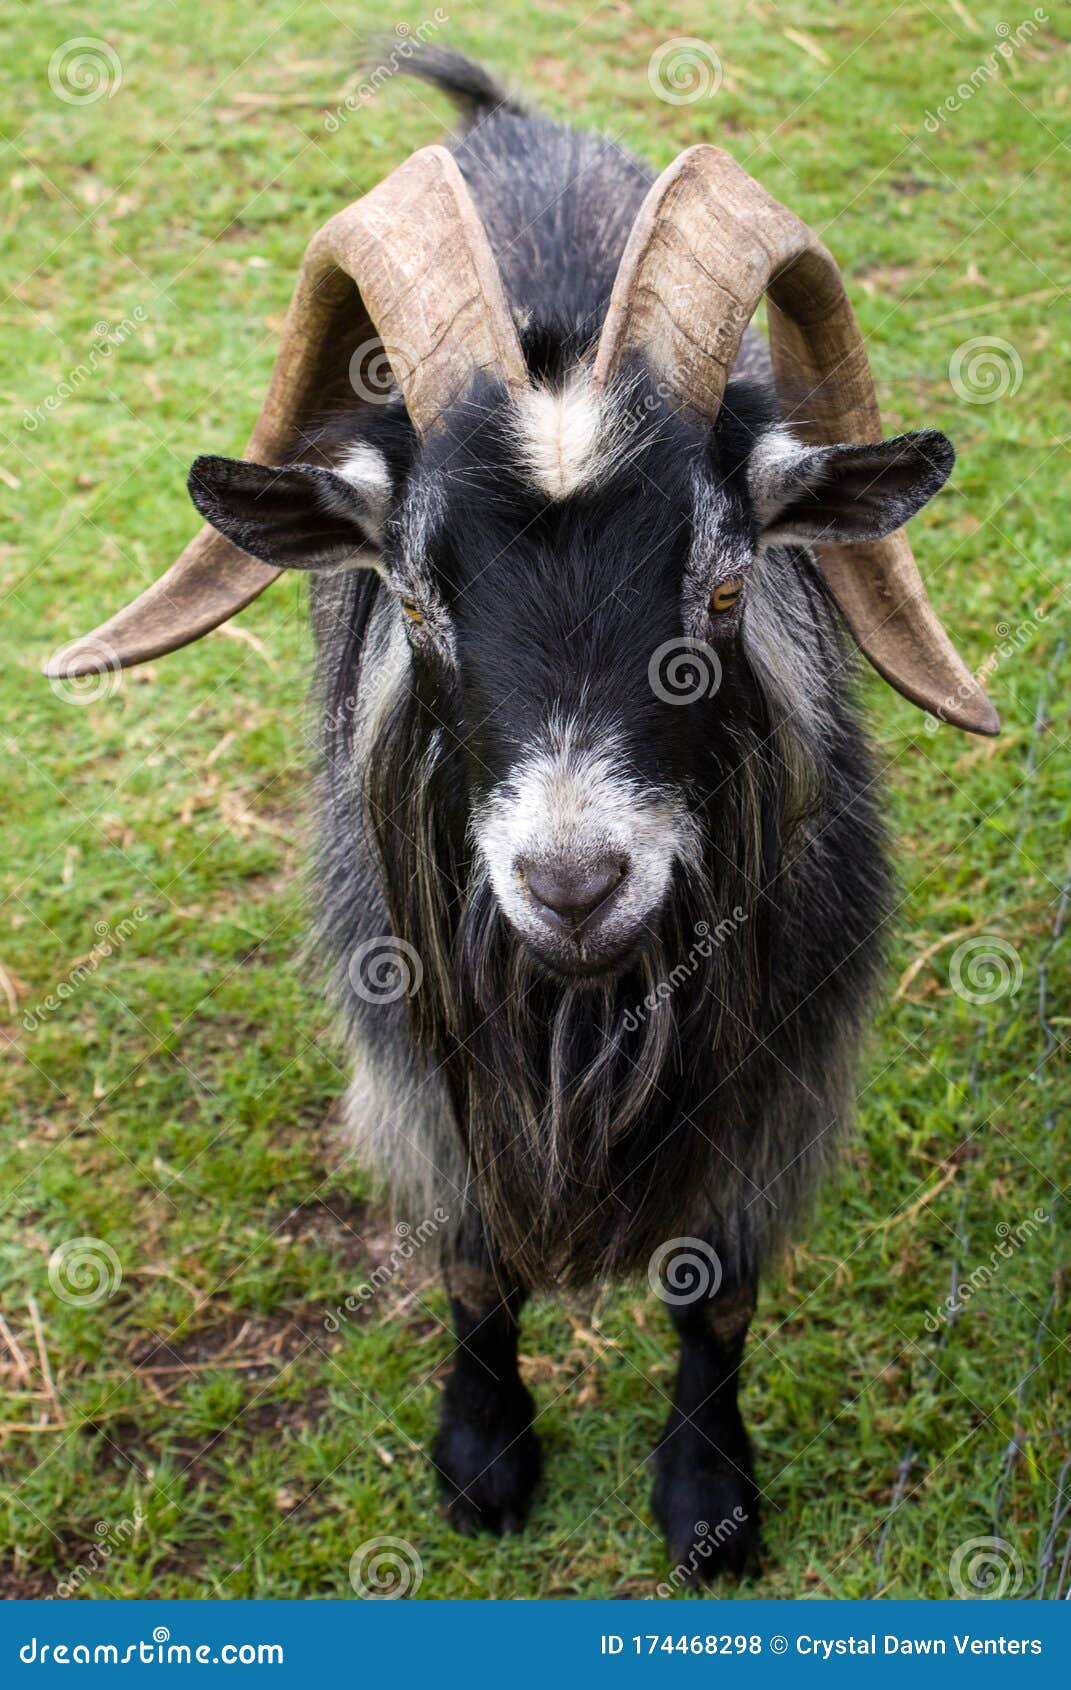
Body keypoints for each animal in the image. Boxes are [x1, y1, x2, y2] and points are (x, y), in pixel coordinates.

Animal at [48, 48, 998, 1580]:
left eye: (723, 587)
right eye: (414, 595)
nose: (572, 881)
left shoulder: (776, 1072)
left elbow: (713, 1289)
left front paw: (708, 1497)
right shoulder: (415, 1043)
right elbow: (473, 1259)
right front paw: (483, 1455)